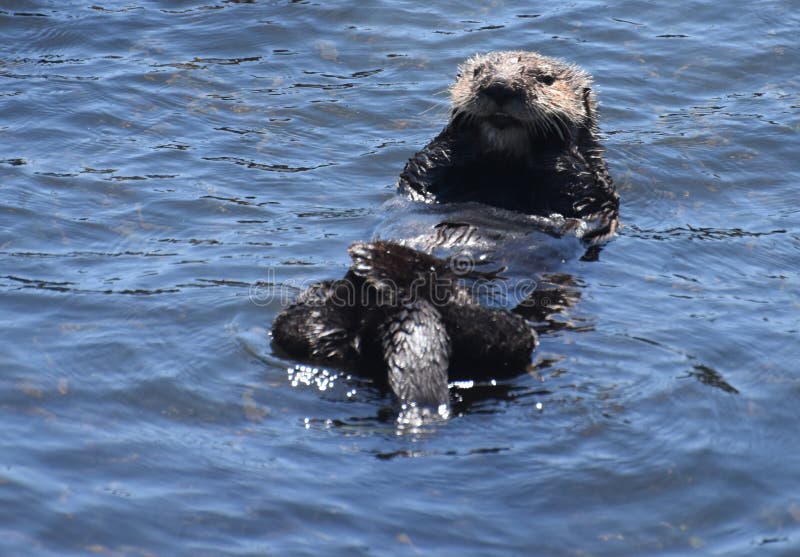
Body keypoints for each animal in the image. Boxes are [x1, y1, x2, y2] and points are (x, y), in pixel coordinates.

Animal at [272, 51, 618, 418]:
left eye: (546, 79)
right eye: (479, 72)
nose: (500, 87)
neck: (503, 173)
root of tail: (400, 307)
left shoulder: (596, 199)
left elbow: (580, 183)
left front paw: (553, 136)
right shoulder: (425, 179)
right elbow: (427, 162)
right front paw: (461, 123)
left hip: (507, 337)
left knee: (498, 336)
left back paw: (395, 264)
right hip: (314, 308)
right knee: (302, 334)